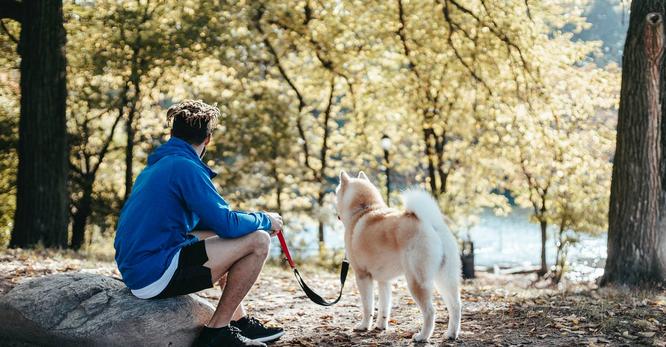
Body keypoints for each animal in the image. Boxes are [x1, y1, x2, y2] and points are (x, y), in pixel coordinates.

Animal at [334, 171, 460, 342]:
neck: (363, 210)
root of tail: (430, 224)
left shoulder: (362, 276)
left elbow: (368, 306)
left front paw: (364, 326)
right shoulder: (383, 281)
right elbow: (384, 307)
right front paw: (380, 326)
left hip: (416, 281)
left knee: (430, 312)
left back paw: (422, 336)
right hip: (445, 279)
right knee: (455, 306)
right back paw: (451, 334)